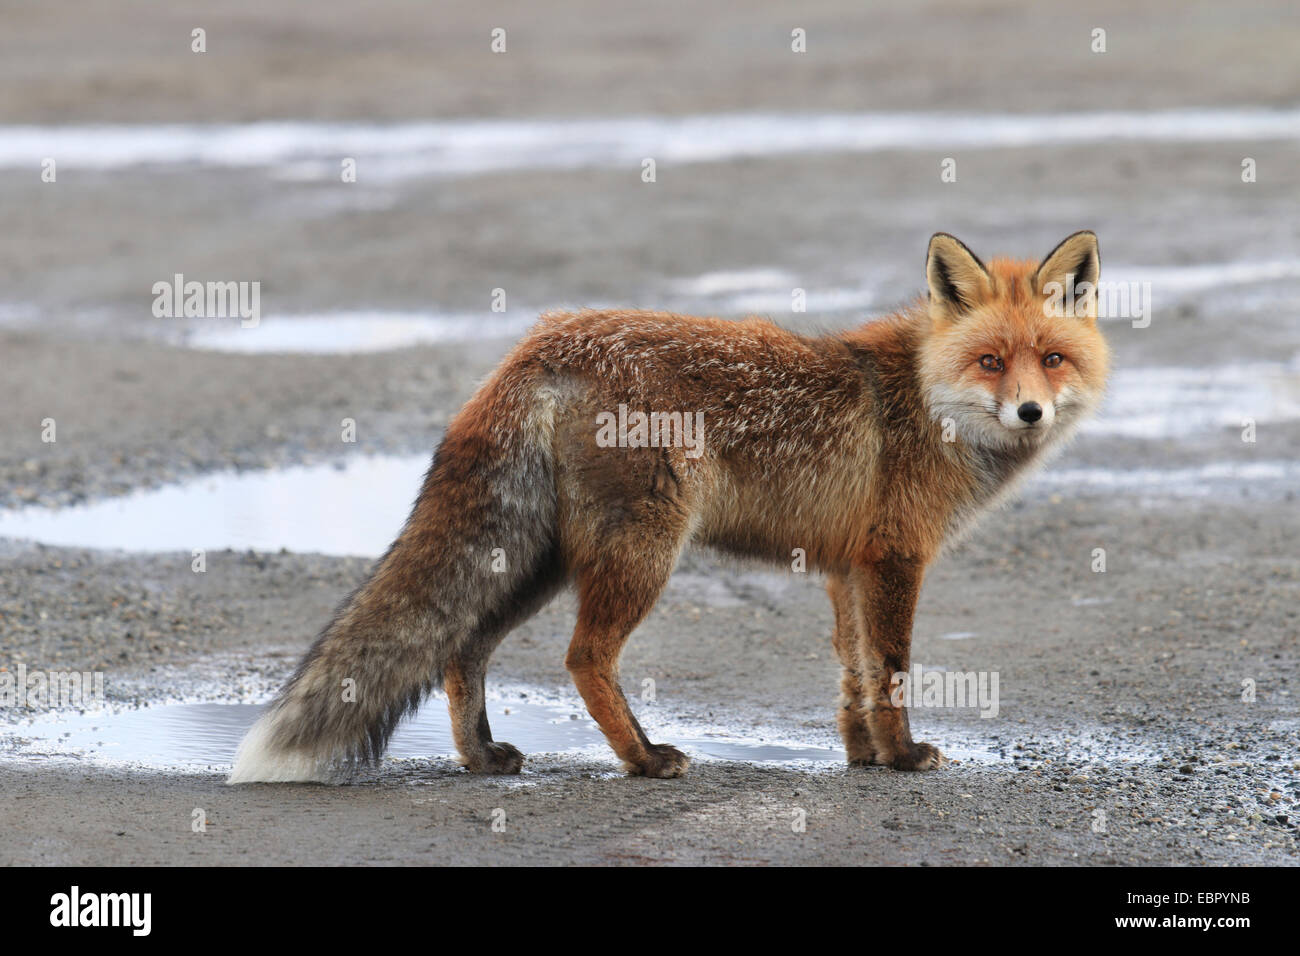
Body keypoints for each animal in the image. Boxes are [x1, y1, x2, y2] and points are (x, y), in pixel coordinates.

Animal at [229, 230, 1109, 783]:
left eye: (1051, 359)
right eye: (991, 361)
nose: (1030, 412)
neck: (924, 403)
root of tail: (540, 341)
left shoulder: (846, 567)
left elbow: (852, 674)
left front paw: (862, 756)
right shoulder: (894, 557)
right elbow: (889, 672)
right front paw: (900, 758)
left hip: (541, 560)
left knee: (462, 649)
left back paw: (482, 759)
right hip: (643, 551)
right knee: (584, 659)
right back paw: (645, 761)